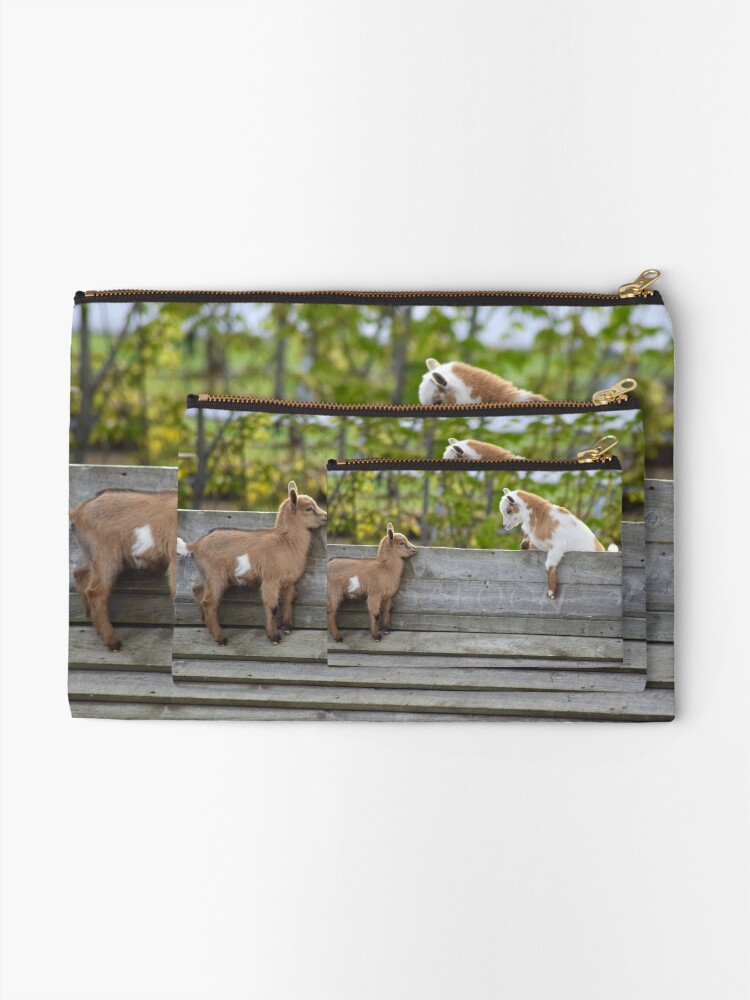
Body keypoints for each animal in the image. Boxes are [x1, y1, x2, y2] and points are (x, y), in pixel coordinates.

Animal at [70, 488, 178, 651]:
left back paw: (90, 617)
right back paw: (112, 641)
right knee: (95, 591)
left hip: (91, 553)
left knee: (80, 574)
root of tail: (79, 511)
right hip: (106, 555)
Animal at [177, 482, 327, 645]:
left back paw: (206, 624)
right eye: (309, 508)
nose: (326, 516)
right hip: (216, 576)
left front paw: (287, 627)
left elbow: (289, 599)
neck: (286, 541)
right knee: (209, 602)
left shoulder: (288, 581)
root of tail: (195, 545)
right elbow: (272, 607)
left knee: (197, 590)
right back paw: (221, 638)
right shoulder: (270, 579)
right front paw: (274, 637)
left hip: (208, 575)